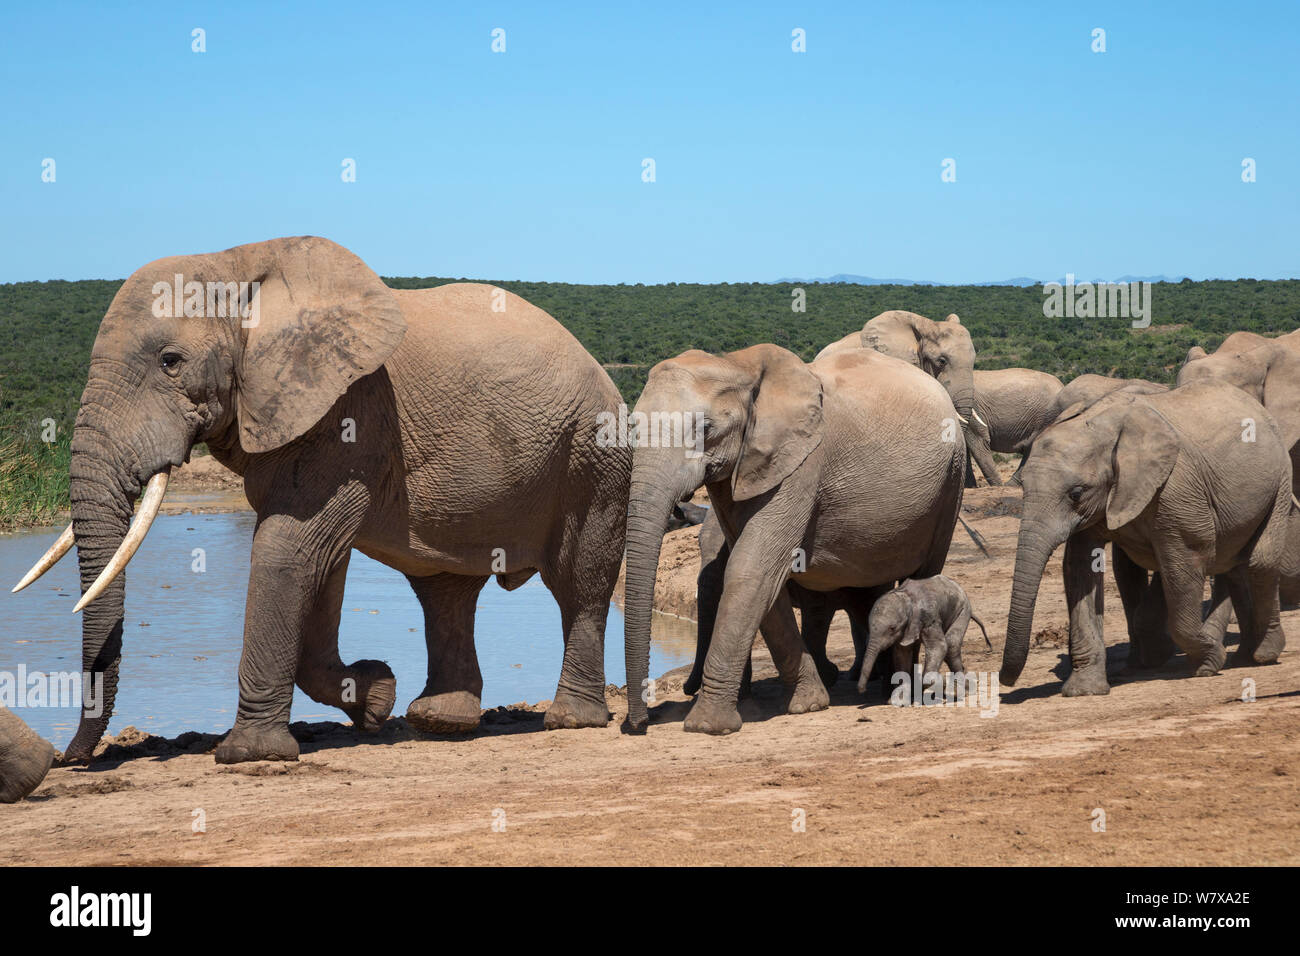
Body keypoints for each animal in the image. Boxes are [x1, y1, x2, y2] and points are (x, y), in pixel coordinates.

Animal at [11, 236, 630, 764]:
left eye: (171, 361)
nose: (66, 759)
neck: (236, 261)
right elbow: (321, 563)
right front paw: (376, 696)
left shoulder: (347, 412)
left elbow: (292, 550)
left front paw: (249, 756)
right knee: (444, 589)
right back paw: (440, 721)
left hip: (592, 454)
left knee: (579, 581)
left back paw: (569, 719)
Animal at [623, 343, 966, 735]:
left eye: (706, 428)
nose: (640, 724)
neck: (736, 364)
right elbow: (763, 577)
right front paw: (810, 703)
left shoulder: (802, 465)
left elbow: (752, 569)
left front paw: (708, 726)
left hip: (952, 479)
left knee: (924, 571)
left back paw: (900, 693)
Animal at [856, 575, 990, 695]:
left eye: (892, 628)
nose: (862, 690)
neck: (905, 597)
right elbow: (902, 653)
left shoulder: (929, 616)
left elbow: (939, 646)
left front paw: (940, 683)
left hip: (963, 610)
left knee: (951, 644)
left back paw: (965, 690)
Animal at [1001, 382, 1291, 697]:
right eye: (1023, 486)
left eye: (1076, 493)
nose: (1005, 682)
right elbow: (1081, 568)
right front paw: (1084, 691)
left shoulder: (1176, 487)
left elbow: (1187, 558)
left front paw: (1208, 663)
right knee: (1232, 563)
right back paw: (1243, 655)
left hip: (1281, 477)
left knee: (1259, 562)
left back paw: (1263, 654)